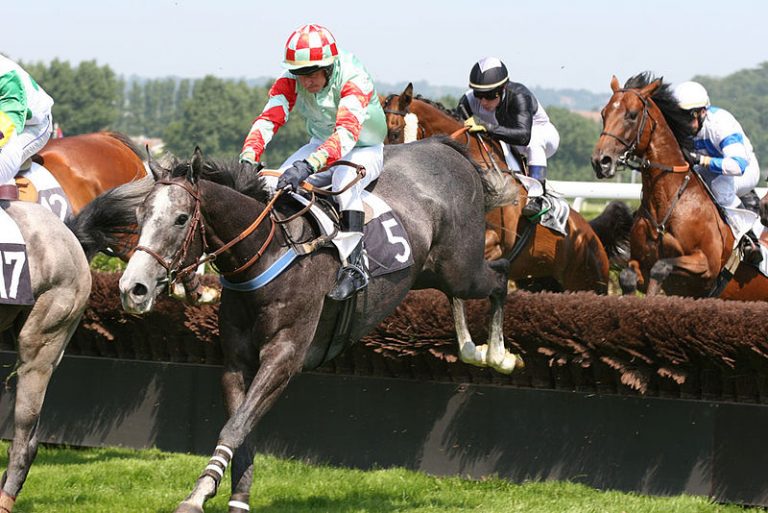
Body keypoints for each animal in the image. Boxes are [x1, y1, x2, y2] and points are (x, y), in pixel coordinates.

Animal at [118, 139, 522, 513]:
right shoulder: (236, 361)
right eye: (139, 214)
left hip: (461, 267)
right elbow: (242, 427)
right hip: (434, 273)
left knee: (500, 278)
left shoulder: (285, 355)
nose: (132, 288)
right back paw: (471, 349)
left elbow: (235, 426)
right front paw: (237, 500)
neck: (267, 251)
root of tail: (443, 147)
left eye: (181, 218)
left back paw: (497, 355)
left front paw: (198, 493)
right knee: (462, 293)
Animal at [591, 72, 768, 299]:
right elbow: (627, 275)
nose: (600, 161)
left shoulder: (707, 265)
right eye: (604, 114)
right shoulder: (640, 264)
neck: (667, 202)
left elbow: (661, 266)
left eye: (631, 115)